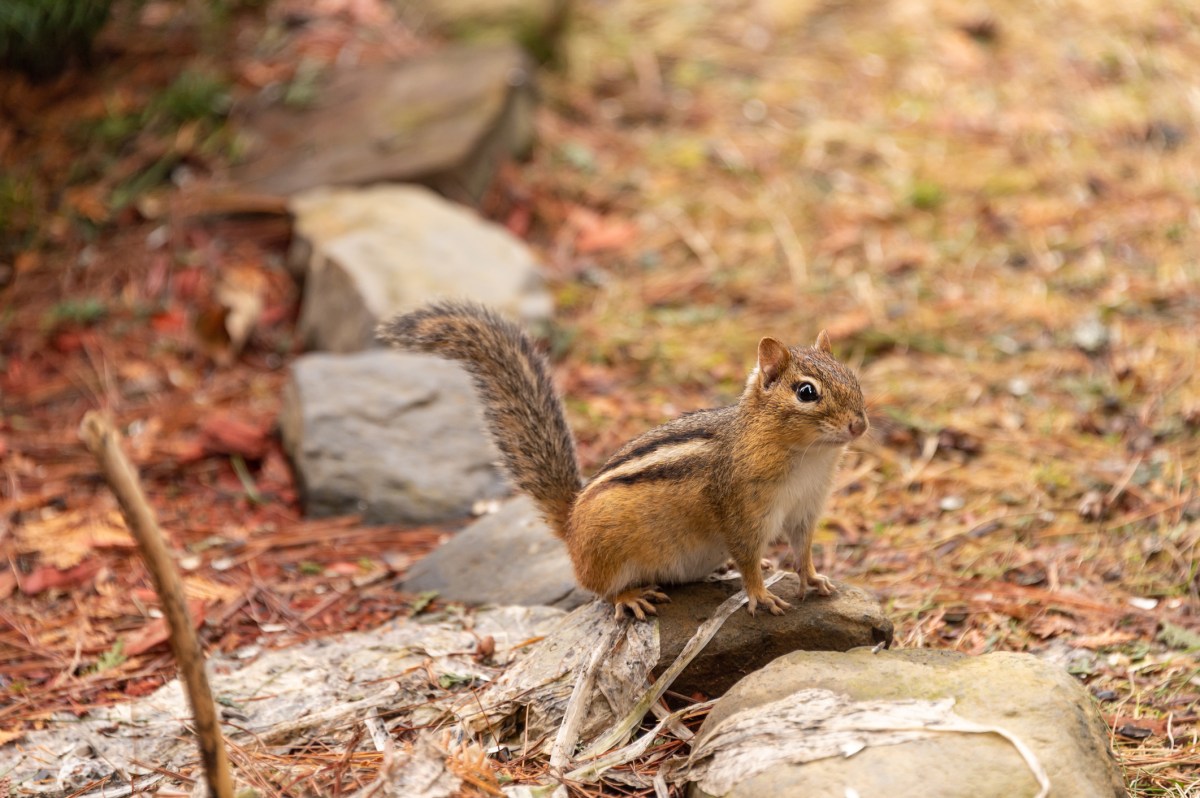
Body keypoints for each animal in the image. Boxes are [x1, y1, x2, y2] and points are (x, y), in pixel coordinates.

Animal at [378, 301, 868, 620]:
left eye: (854, 377)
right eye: (806, 392)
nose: (860, 425)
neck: (808, 458)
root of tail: (571, 522)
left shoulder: (805, 508)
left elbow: (803, 548)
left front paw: (813, 579)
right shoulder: (742, 511)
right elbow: (747, 555)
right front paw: (760, 594)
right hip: (608, 553)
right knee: (597, 590)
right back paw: (629, 598)